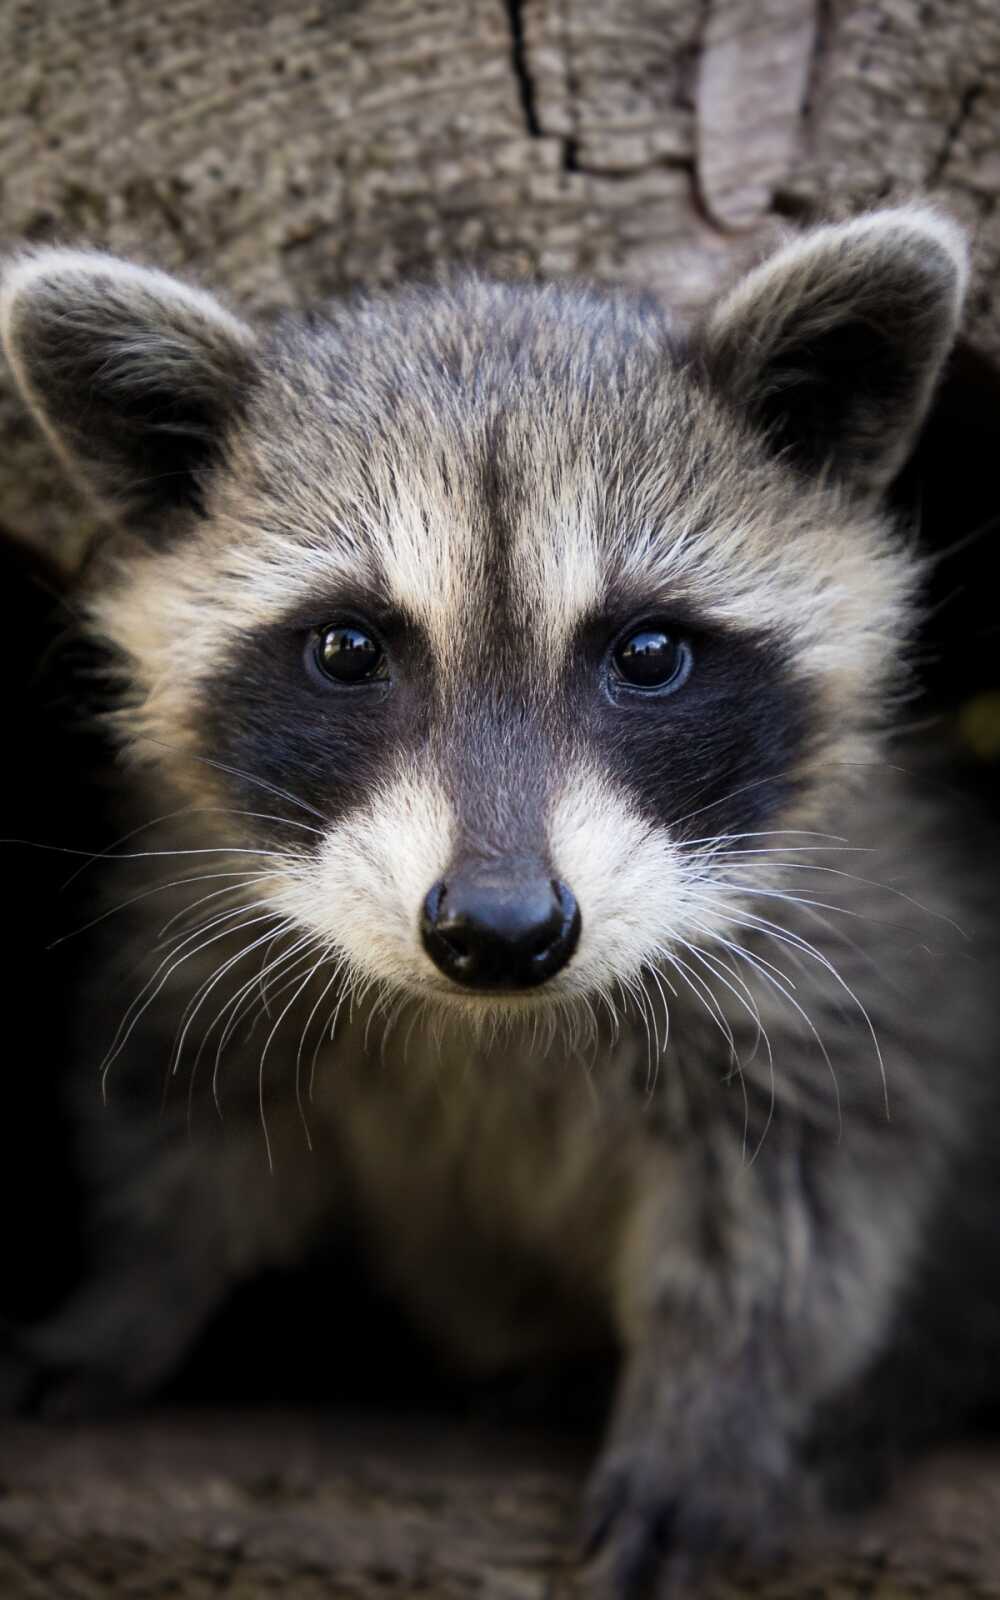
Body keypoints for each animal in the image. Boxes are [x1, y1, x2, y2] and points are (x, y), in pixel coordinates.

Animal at [2, 209, 998, 1593]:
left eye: (648, 654)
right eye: (348, 649)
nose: (501, 931)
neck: (497, 1020)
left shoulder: (846, 939)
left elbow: (806, 1195)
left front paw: (716, 1403)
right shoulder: (205, 902)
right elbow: (186, 1122)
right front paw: (128, 1299)